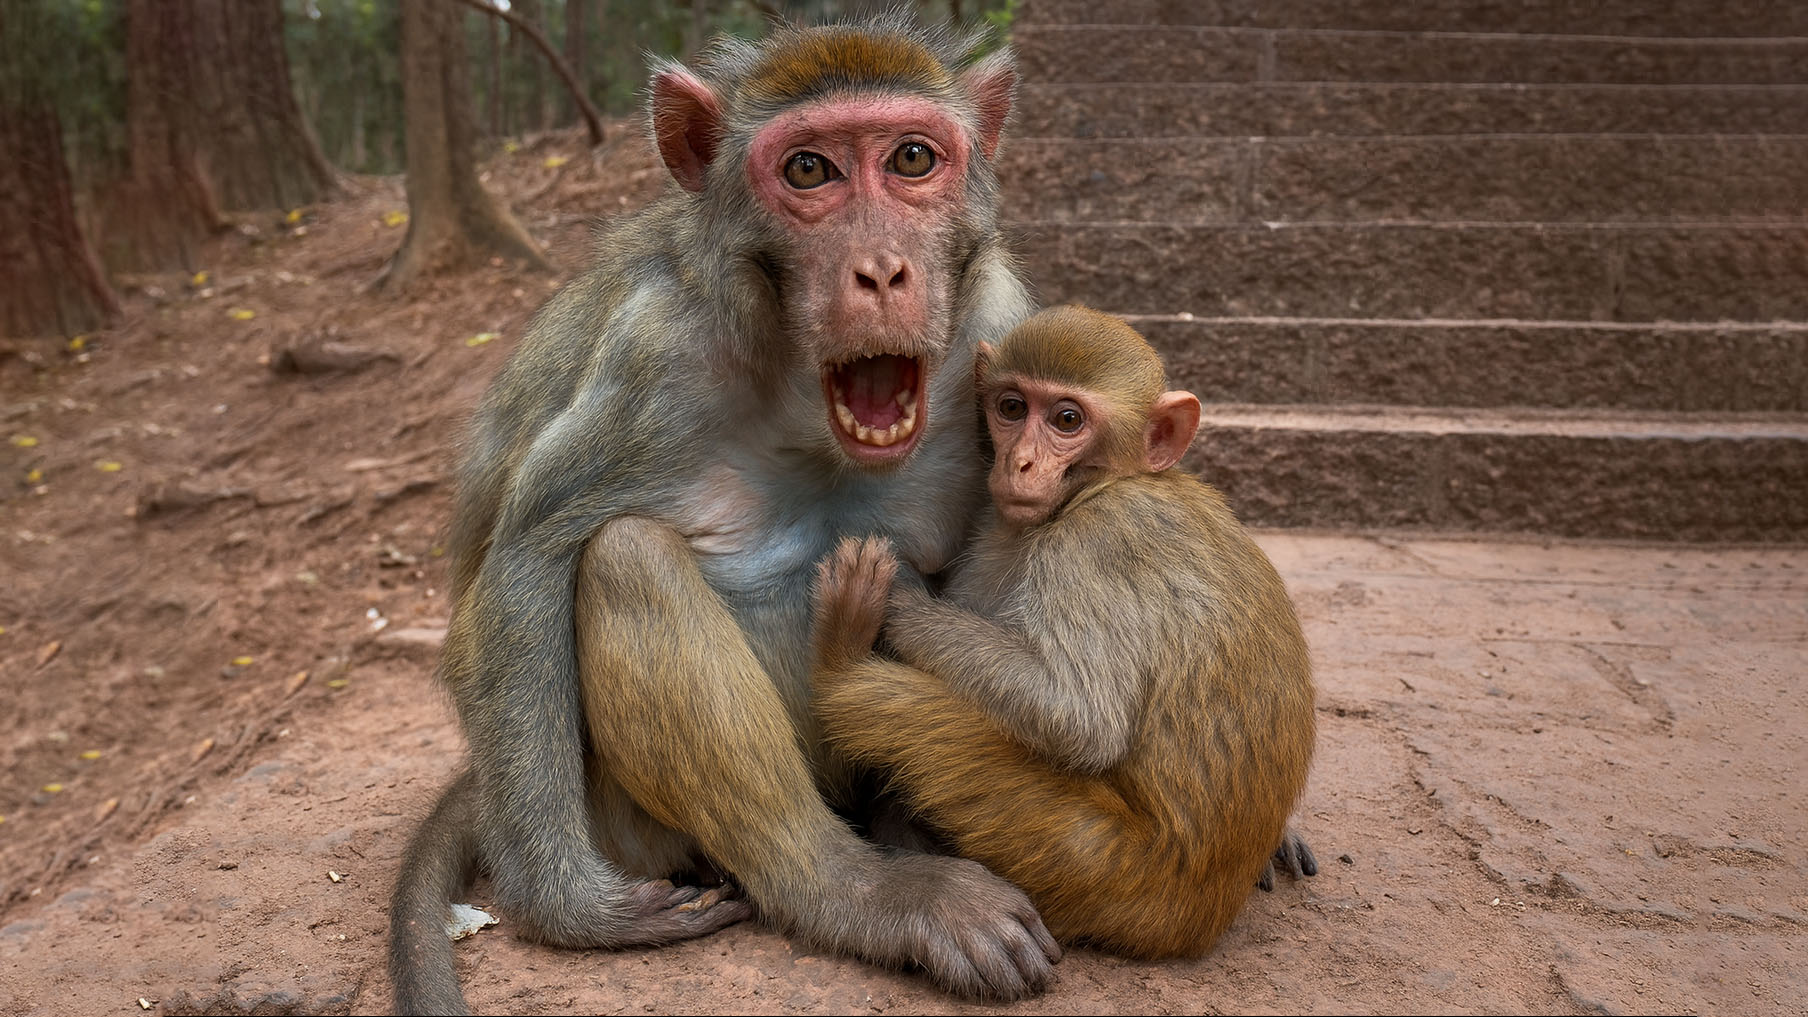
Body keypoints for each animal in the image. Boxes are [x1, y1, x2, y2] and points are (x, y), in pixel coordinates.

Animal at [387, 18, 1065, 1015]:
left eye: (912, 158)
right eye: (810, 171)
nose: (882, 271)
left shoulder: (1001, 320)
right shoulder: (655, 350)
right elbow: (527, 559)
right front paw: (567, 906)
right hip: (621, 819)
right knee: (625, 557)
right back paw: (857, 891)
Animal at [807, 304, 1318, 959]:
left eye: (1067, 420)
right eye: (1011, 407)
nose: (1020, 463)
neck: (1107, 484)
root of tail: (1204, 911)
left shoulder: (1094, 545)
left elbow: (1077, 714)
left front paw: (901, 598)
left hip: (1096, 859)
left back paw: (840, 658)